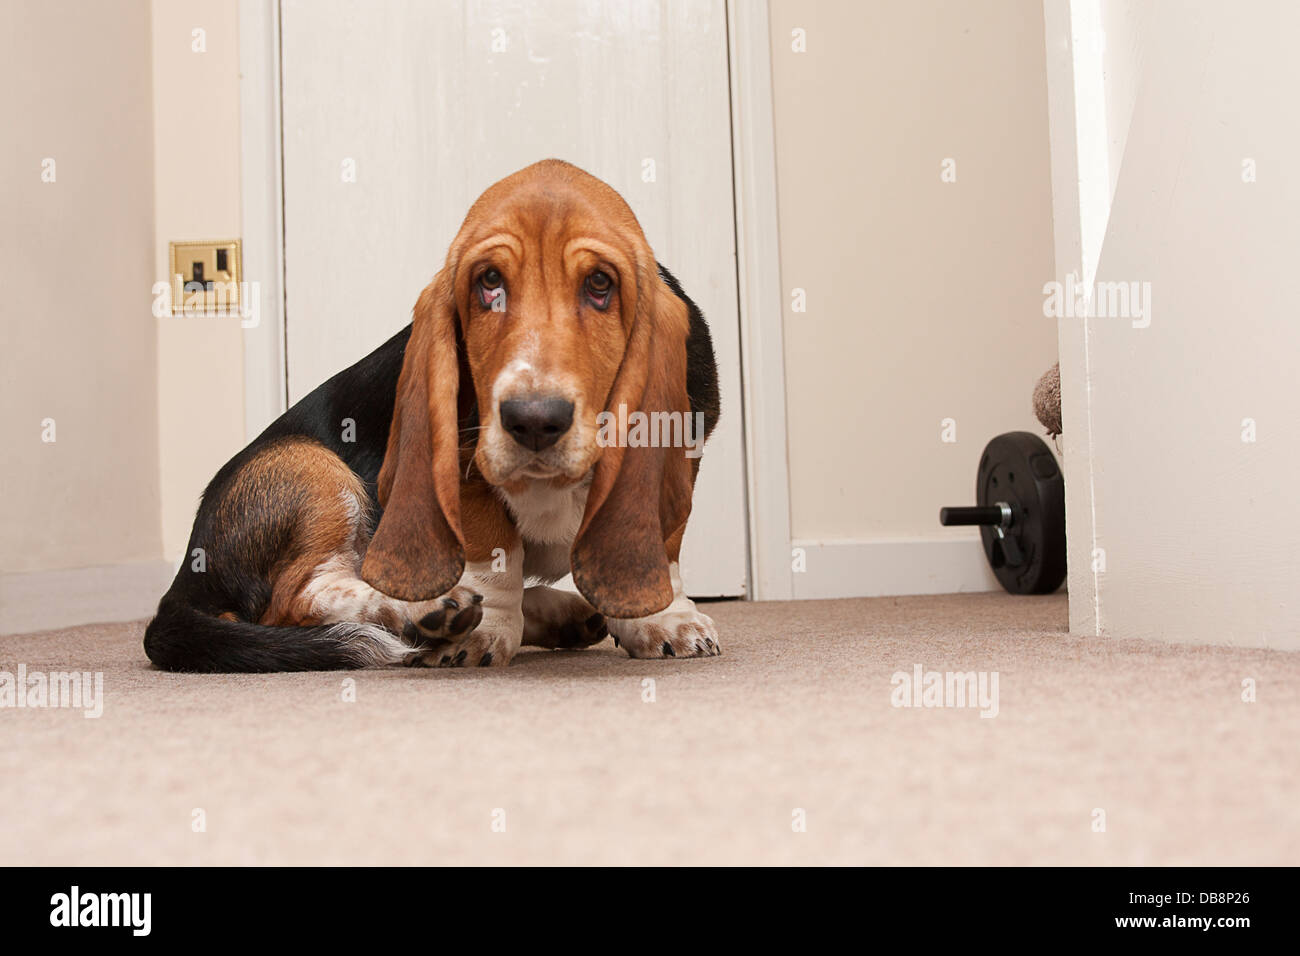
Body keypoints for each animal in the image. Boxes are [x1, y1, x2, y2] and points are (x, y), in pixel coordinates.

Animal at [149, 160, 733, 671]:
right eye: (489, 282)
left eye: (599, 286)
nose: (533, 420)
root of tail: (184, 578)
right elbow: (495, 555)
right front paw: (482, 632)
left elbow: (663, 549)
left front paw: (662, 620)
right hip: (310, 468)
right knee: (299, 597)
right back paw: (429, 610)